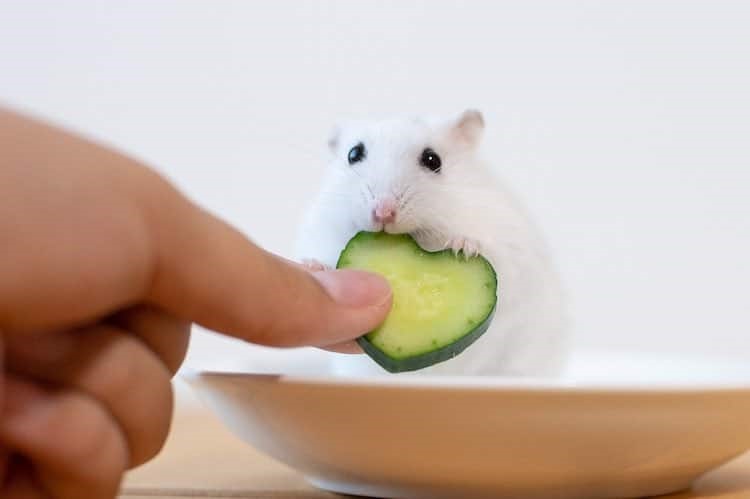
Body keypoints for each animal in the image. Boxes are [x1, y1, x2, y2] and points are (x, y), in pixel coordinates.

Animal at [295, 109, 569, 377]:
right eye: (353, 154)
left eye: (432, 160)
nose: (384, 213)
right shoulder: (322, 233)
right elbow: (322, 254)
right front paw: (313, 267)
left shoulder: (510, 251)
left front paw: (463, 246)